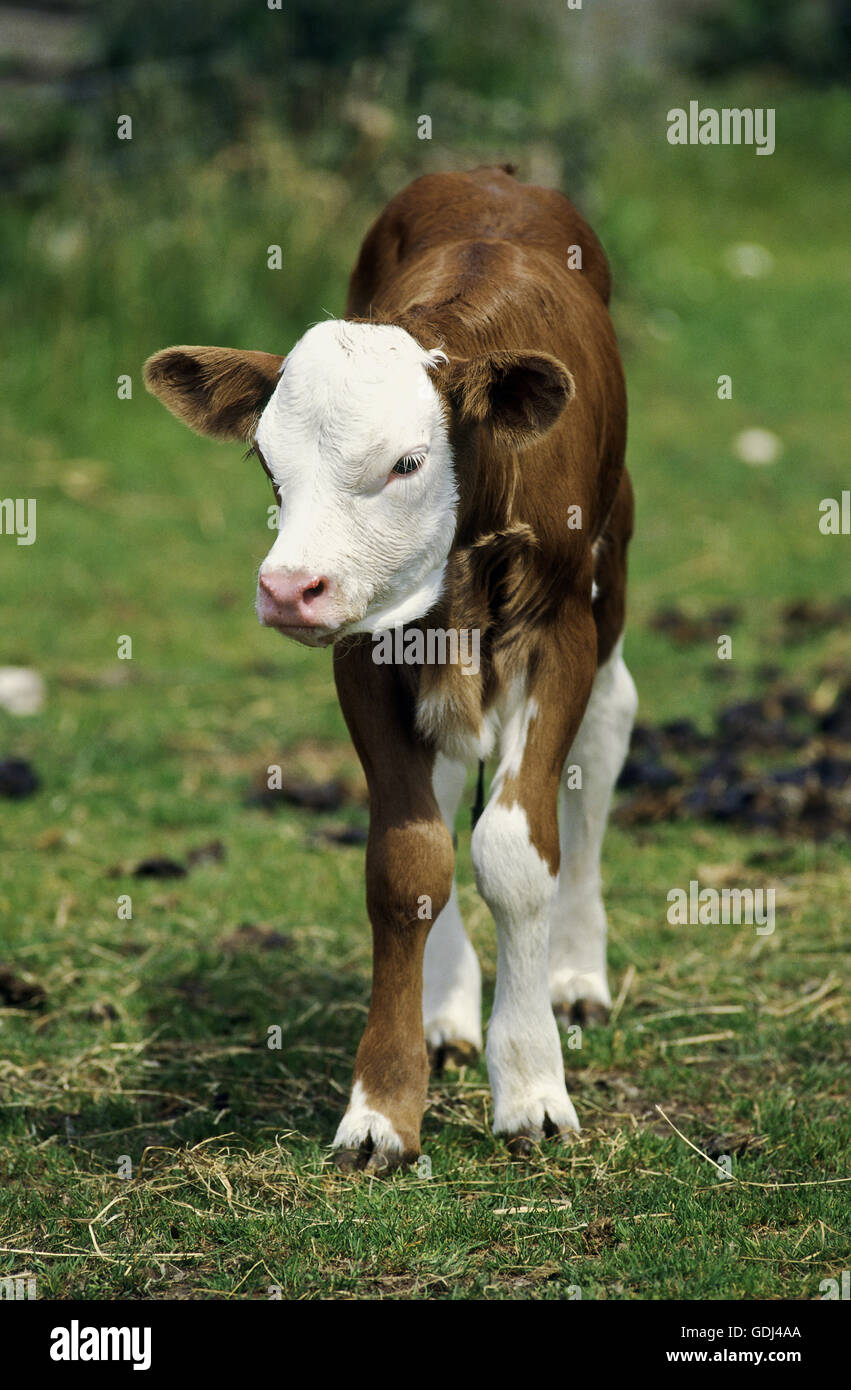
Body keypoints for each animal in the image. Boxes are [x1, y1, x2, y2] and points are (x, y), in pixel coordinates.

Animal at [144, 164, 636, 1171]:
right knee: (446, 790)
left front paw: (532, 1088)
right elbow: (407, 863)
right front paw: (382, 1107)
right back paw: (448, 1013)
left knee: (602, 740)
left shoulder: (559, 632)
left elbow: (517, 851)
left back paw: (575, 974)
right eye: (267, 463)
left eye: (408, 461)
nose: (288, 589)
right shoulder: (365, 648)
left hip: (612, 569)